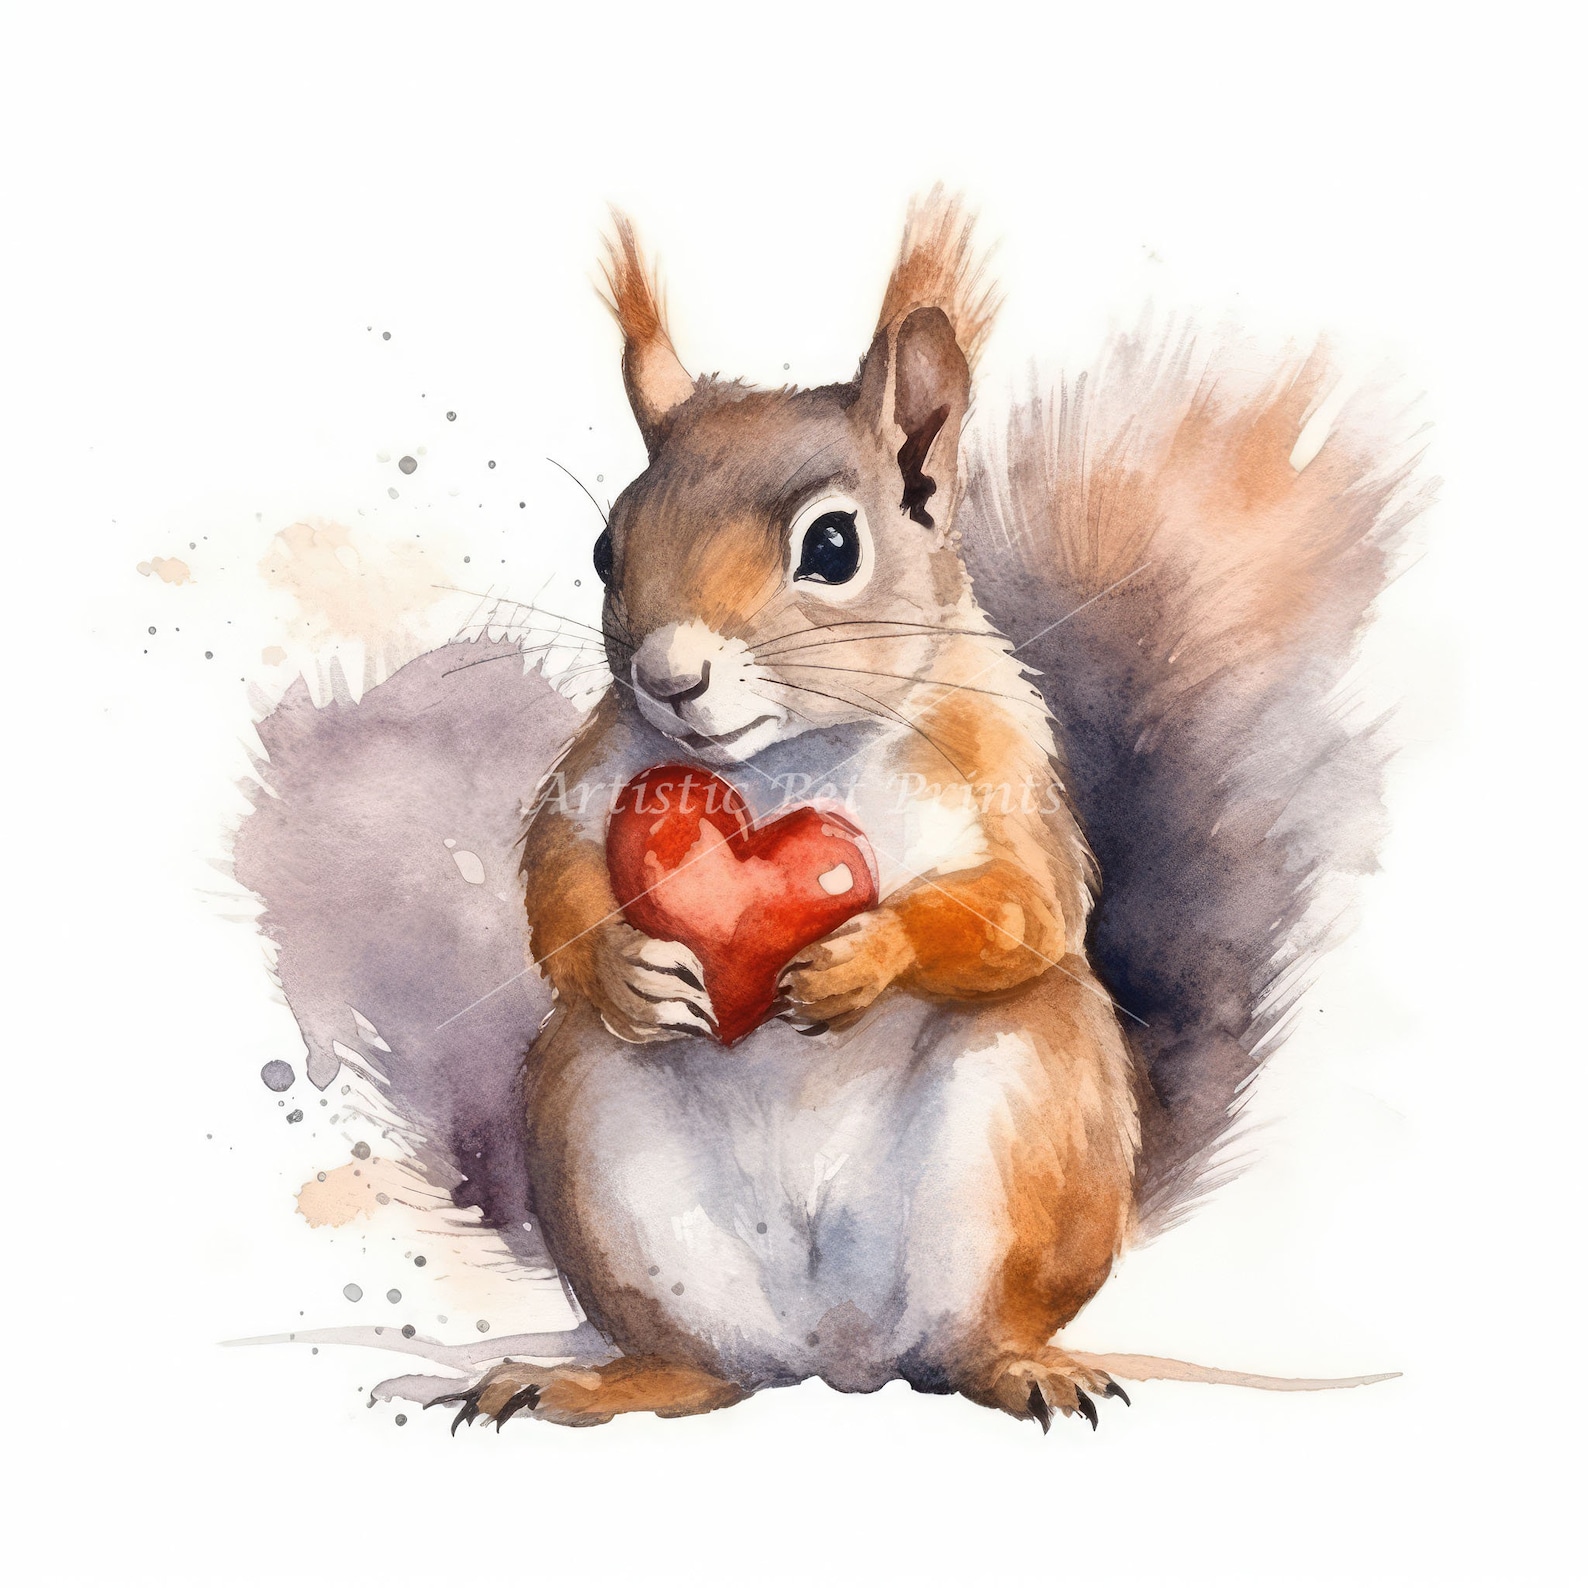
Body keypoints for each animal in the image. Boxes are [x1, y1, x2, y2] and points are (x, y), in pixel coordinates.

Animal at [414, 192, 1420, 1433]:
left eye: (832, 545)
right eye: (607, 547)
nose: (668, 676)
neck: (785, 759)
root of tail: (837, 1350)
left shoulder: (1008, 773)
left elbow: (1025, 909)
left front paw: (860, 956)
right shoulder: (594, 775)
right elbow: (554, 891)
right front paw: (625, 967)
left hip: (1018, 1121)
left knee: (972, 1336)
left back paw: (1025, 1366)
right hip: (600, 1151)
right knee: (702, 1368)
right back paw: (590, 1378)